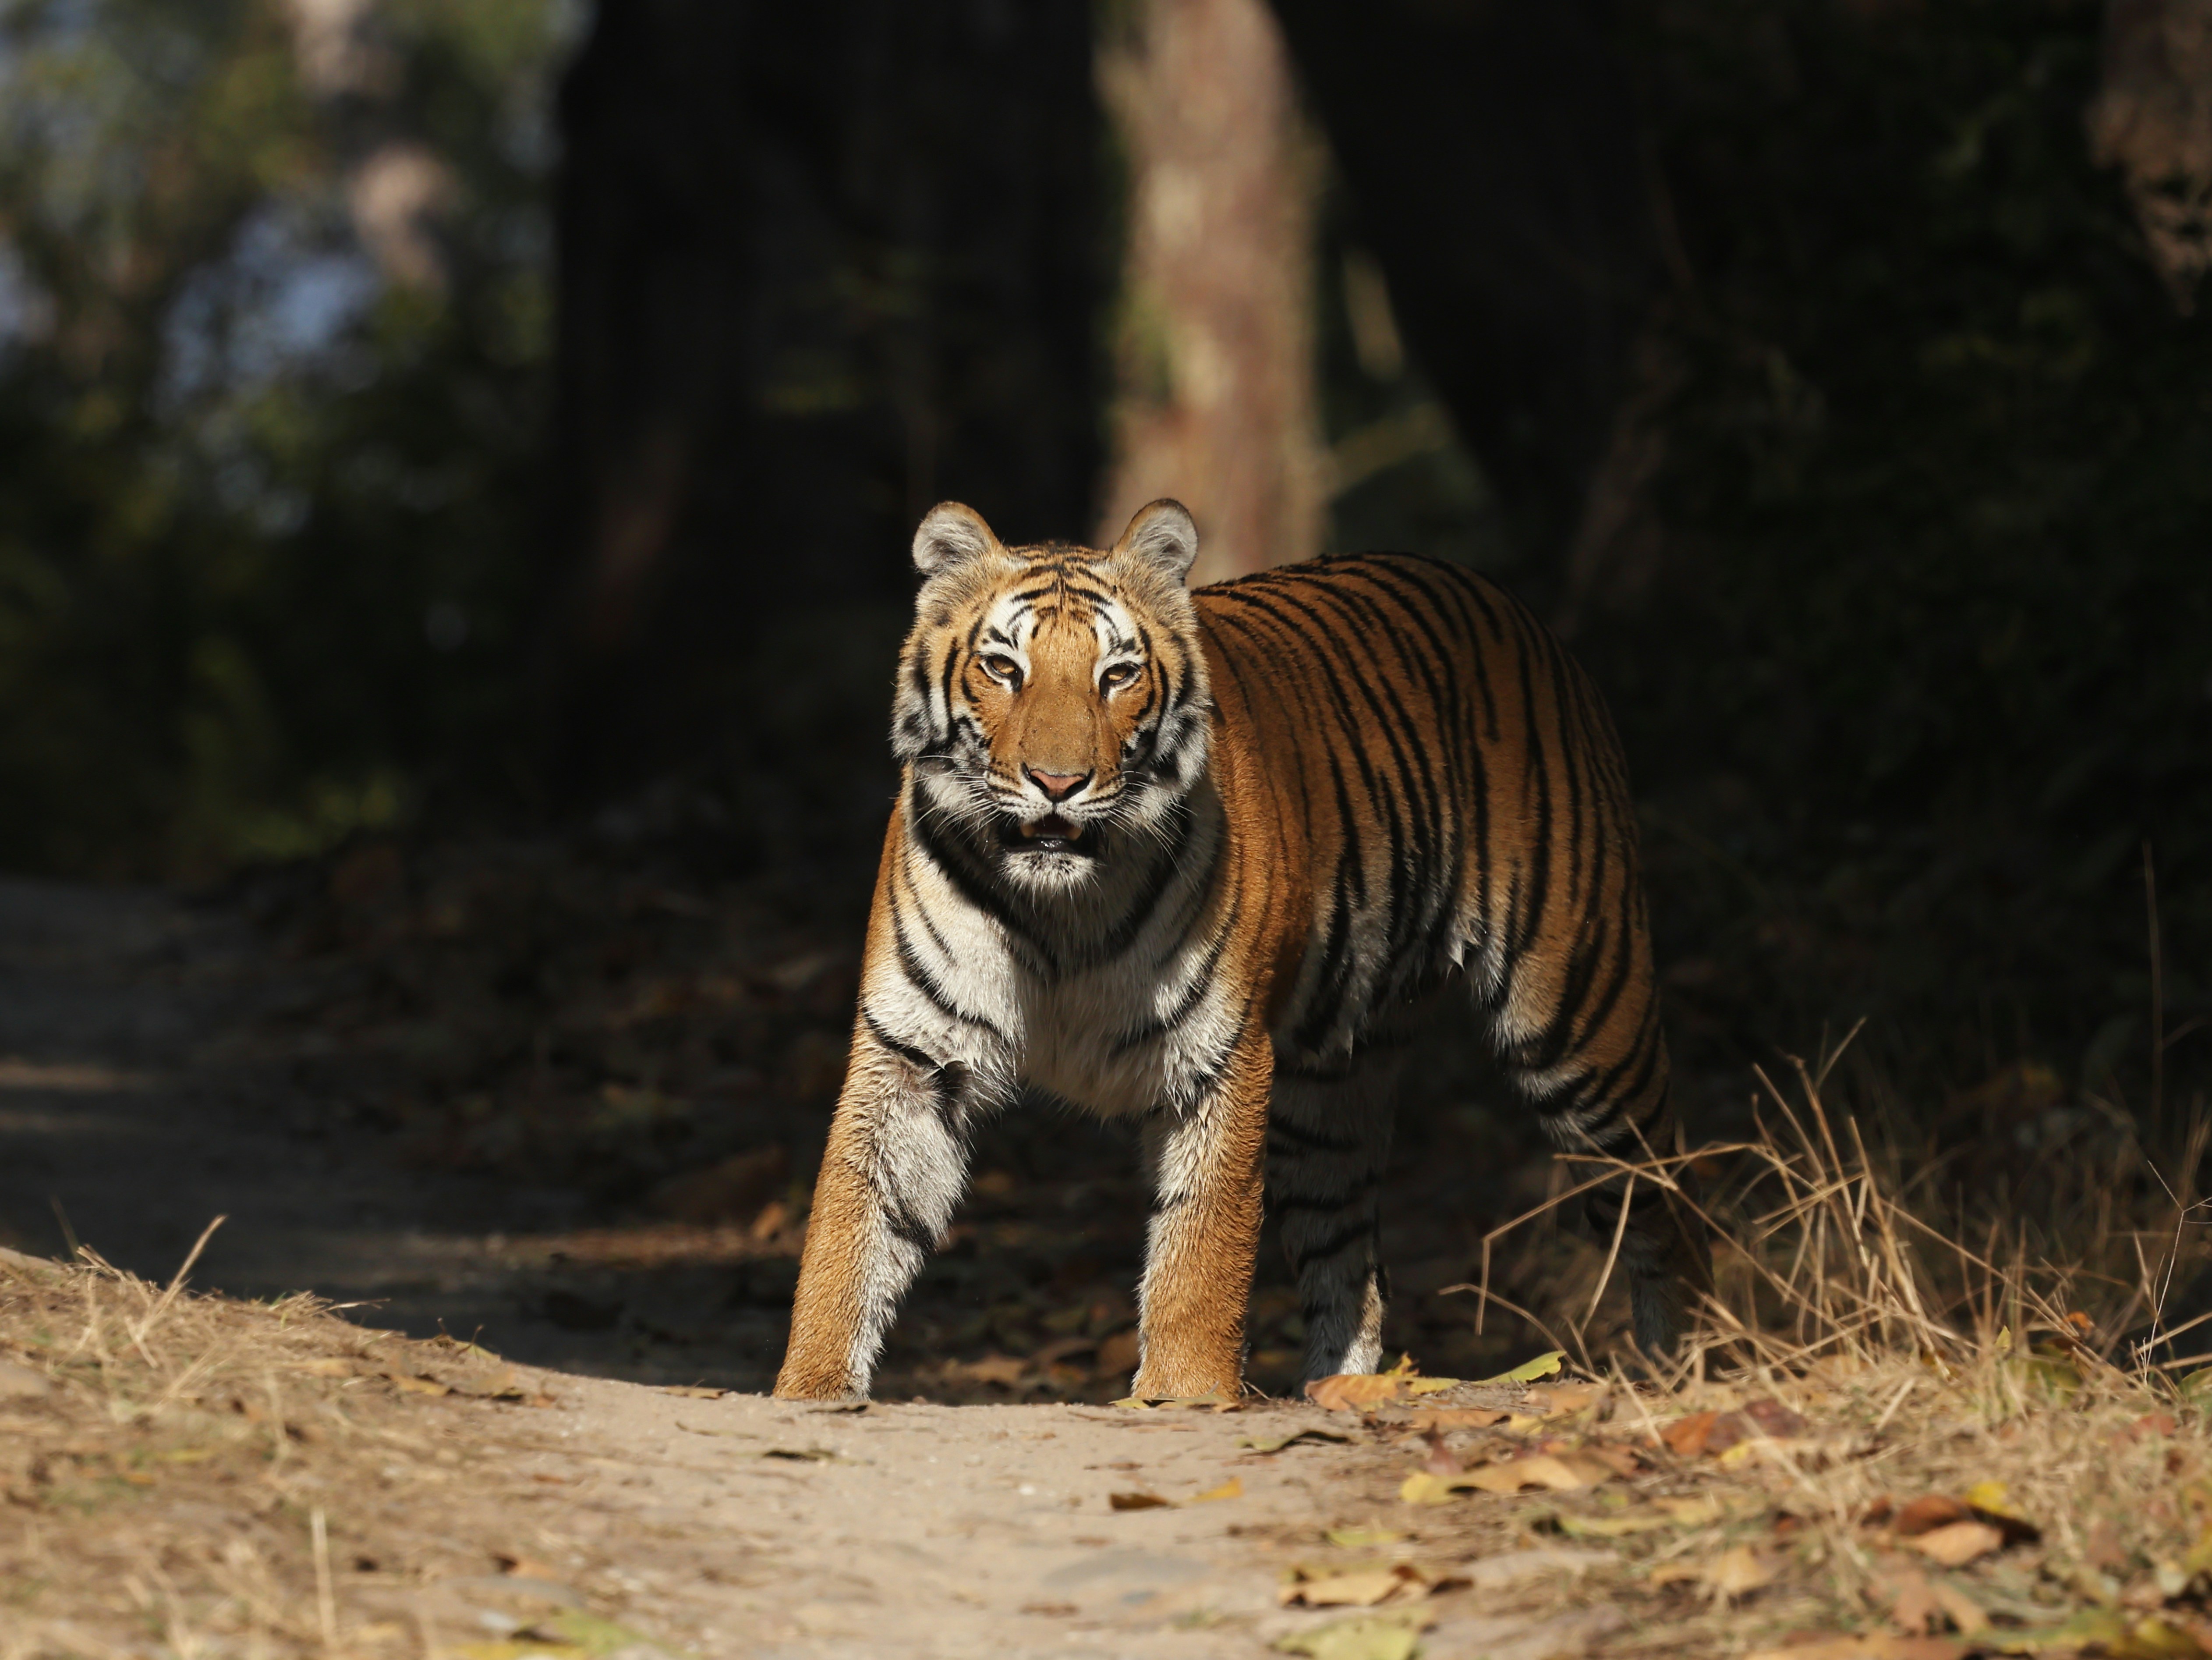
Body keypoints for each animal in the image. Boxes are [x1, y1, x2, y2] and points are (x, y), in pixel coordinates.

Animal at [773, 498, 1708, 1401]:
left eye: (1117, 675)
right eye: (1004, 668)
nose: (1057, 783)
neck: (1059, 909)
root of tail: (1509, 606)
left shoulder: (1216, 1056)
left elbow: (1201, 1247)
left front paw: (1183, 1394)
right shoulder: (912, 1052)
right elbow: (852, 1224)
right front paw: (810, 1388)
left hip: (1578, 1014)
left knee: (1667, 1198)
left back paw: (1684, 1367)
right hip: (1329, 1094)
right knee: (1353, 1263)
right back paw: (1335, 1393)